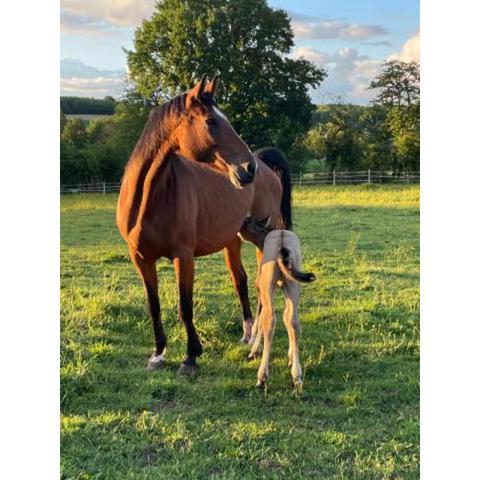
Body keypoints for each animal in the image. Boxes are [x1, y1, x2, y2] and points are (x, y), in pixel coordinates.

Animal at [117, 76, 288, 376]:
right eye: (210, 121)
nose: (248, 168)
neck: (148, 199)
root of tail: (266, 166)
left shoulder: (183, 257)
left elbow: (185, 306)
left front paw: (190, 357)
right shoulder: (141, 259)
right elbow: (153, 305)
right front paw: (158, 354)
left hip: (263, 240)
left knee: (260, 286)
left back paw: (256, 339)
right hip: (233, 240)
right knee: (241, 280)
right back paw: (247, 334)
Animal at [240, 217, 316, 386]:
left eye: (248, 222)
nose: (240, 225)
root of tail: (282, 245)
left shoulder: (261, 289)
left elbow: (261, 317)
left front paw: (253, 349)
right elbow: (287, 318)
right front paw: (291, 357)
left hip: (268, 285)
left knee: (269, 320)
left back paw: (262, 376)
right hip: (294, 284)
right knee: (294, 322)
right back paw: (297, 375)